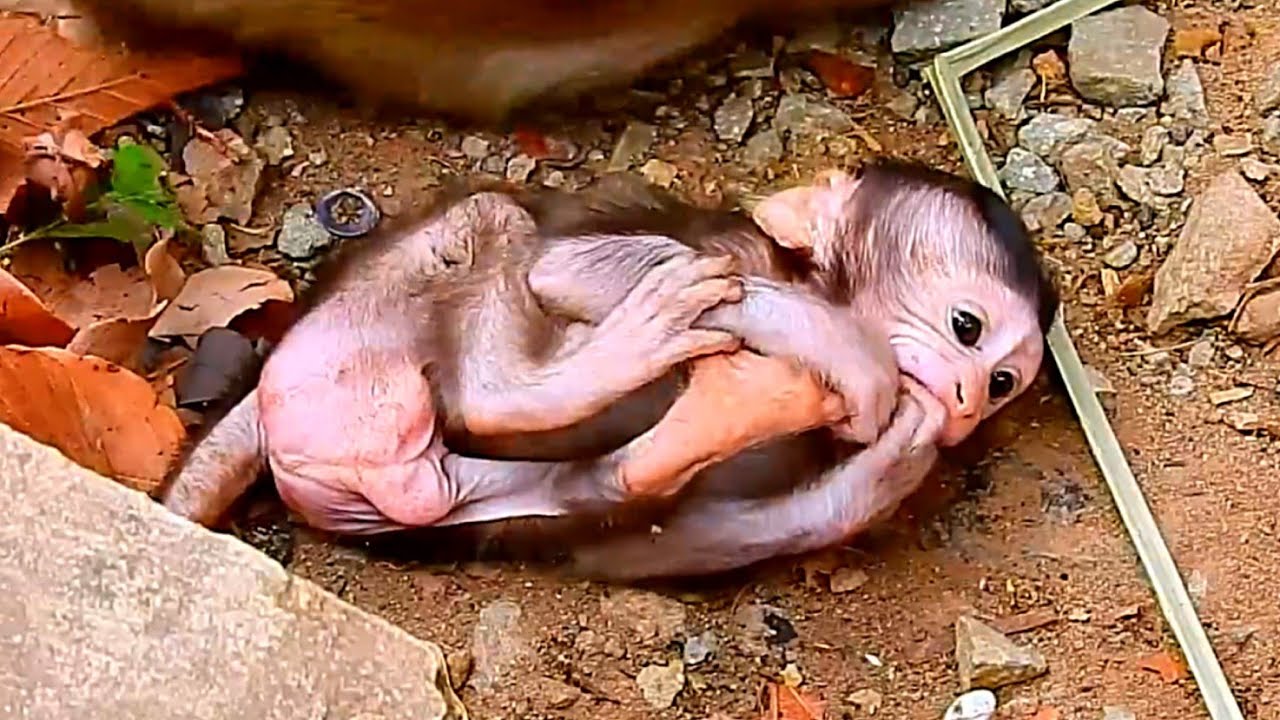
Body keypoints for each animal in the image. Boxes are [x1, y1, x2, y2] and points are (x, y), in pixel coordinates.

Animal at [160, 159, 1058, 580]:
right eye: (968, 328)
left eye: (1003, 385)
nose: (967, 404)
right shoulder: (731, 255)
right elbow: (567, 271)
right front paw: (860, 363)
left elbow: (672, 543)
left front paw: (905, 450)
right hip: (347, 349)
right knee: (499, 241)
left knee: (507, 497)